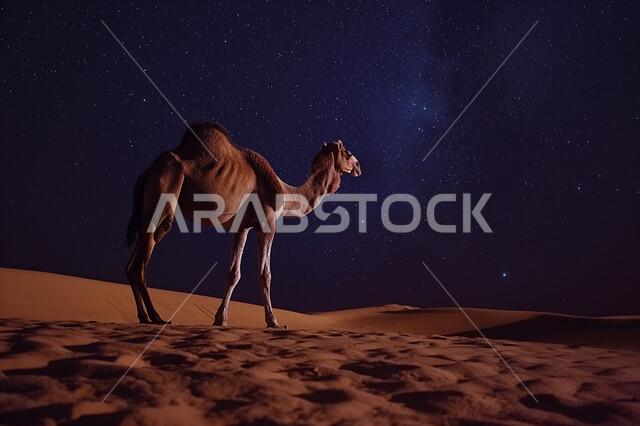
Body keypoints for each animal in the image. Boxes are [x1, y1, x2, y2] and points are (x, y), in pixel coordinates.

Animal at [125, 121, 361, 327]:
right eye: (348, 153)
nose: (358, 166)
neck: (285, 194)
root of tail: (148, 172)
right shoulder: (268, 224)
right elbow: (265, 274)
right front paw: (274, 322)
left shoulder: (242, 227)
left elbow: (233, 273)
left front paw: (220, 319)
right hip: (165, 191)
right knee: (141, 262)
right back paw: (157, 317)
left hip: (148, 208)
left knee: (131, 264)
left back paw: (144, 317)